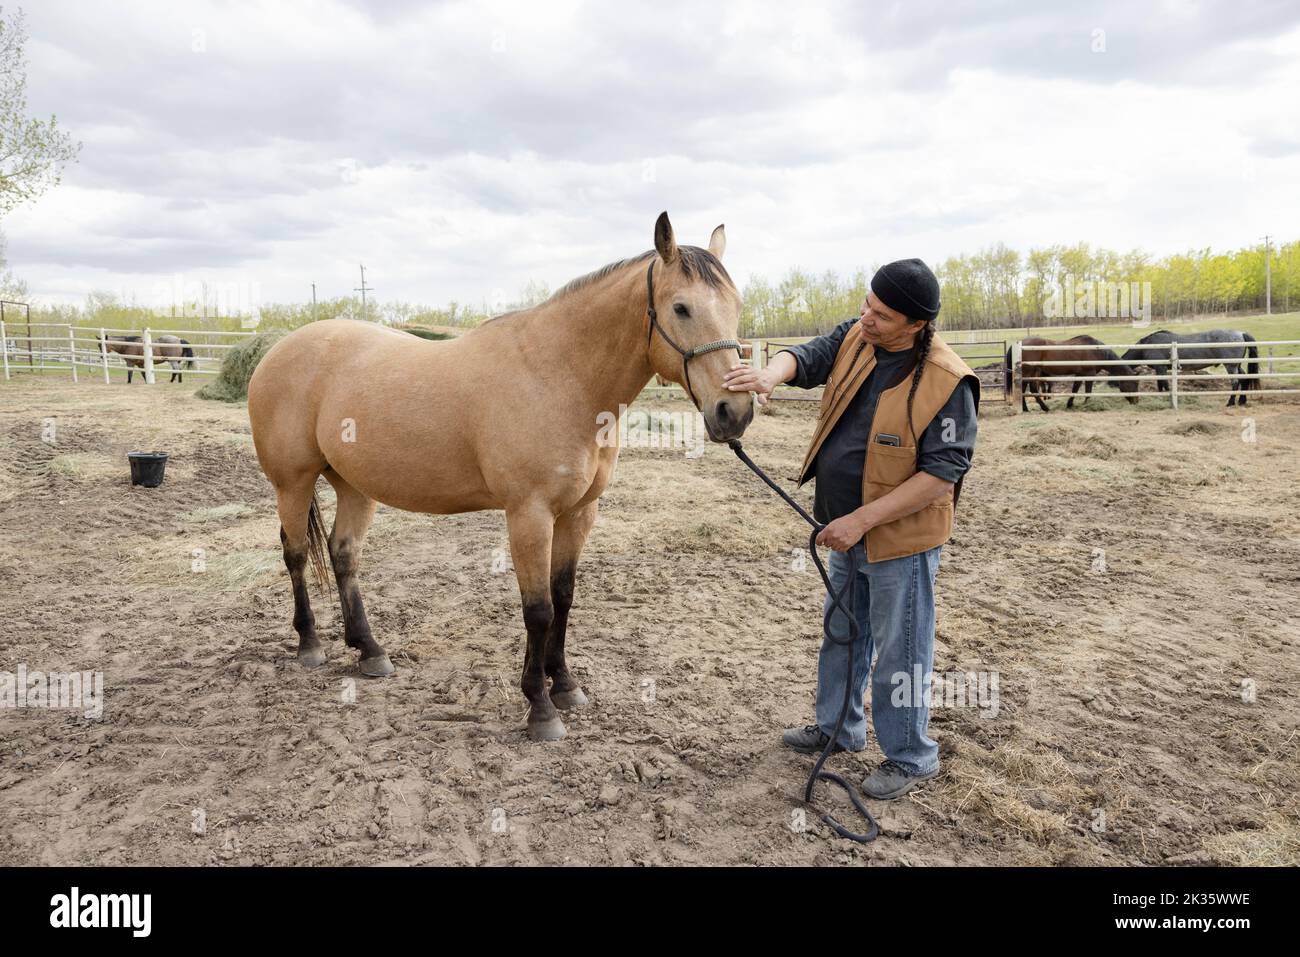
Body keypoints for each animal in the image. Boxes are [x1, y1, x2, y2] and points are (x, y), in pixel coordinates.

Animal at [247, 213, 753, 741]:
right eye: (681, 308)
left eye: (736, 306)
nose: (734, 411)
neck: (560, 376)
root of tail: (278, 350)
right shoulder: (529, 515)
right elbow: (538, 609)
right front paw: (540, 708)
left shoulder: (578, 513)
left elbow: (563, 597)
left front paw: (565, 685)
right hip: (293, 482)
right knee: (296, 555)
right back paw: (310, 645)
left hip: (354, 486)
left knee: (343, 555)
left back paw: (370, 650)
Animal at [1121, 329, 1260, 406]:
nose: (1132, 400)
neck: (1148, 345)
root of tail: (1241, 333)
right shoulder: (1158, 369)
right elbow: (1160, 385)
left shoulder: (1161, 368)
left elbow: (1165, 385)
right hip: (1237, 365)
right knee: (1244, 378)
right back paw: (1242, 401)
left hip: (1230, 366)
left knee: (1235, 383)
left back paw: (1230, 402)